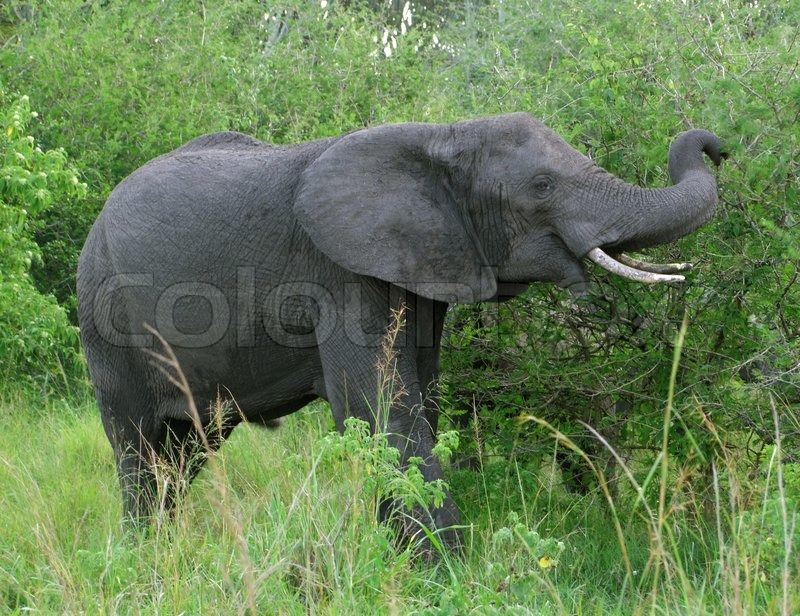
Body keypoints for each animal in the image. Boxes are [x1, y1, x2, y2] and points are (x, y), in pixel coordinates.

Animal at [76, 112, 725, 549]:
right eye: (542, 187)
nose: (713, 145)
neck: (441, 136)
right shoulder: (337, 275)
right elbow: (382, 411)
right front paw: (447, 572)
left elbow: (420, 405)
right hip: (106, 317)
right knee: (140, 449)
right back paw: (144, 558)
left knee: (184, 454)